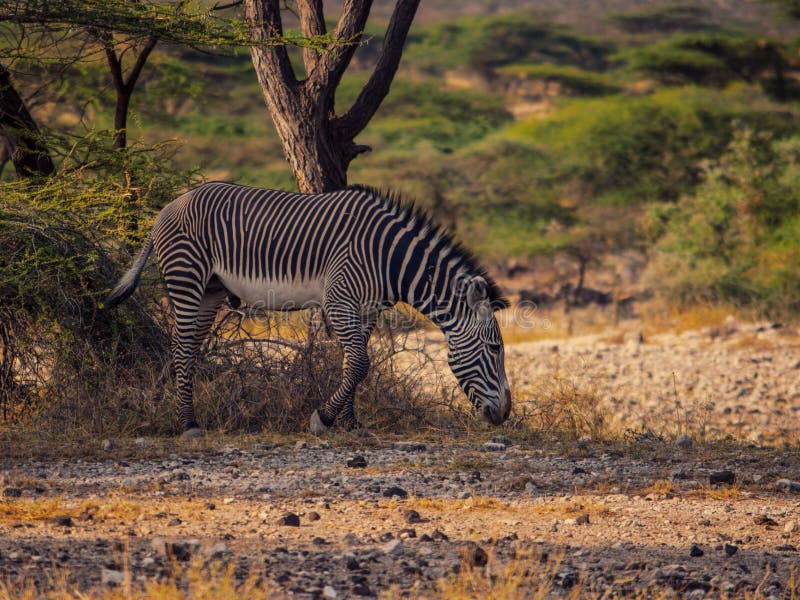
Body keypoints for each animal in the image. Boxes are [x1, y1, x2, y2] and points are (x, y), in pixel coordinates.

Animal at [106, 182, 512, 437]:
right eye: (495, 348)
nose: (505, 414)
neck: (390, 258)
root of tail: (168, 206)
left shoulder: (365, 309)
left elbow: (355, 364)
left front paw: (351, 423)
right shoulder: (341, 299)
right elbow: (360, 363)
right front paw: (324, 419)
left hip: (210, 289)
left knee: (188, 349)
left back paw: (189, 418)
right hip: (187, 277)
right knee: (180, 349)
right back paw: (188, 424)